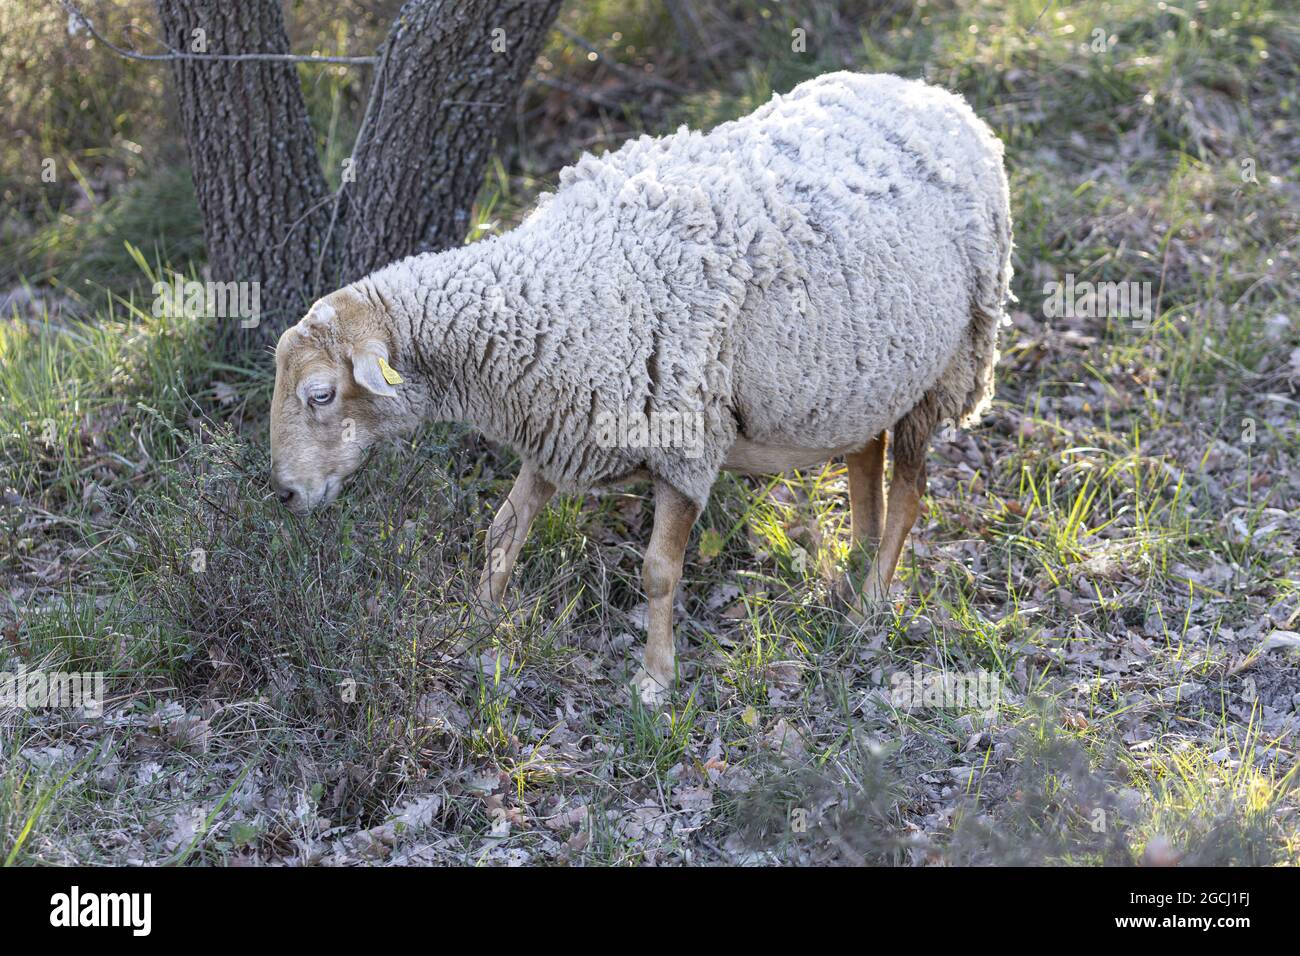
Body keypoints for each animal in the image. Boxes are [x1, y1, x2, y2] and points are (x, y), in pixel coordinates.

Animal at [269, 71, 1013, 703]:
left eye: (320, 395)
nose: (284, 493)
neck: (551, 293)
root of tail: (944, 99)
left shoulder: (683, 440)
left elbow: (659, 571)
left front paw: (655, 680)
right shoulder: (561, 424)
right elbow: (503, 529)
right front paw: (478, 621)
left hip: (948, 365)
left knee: (911, 492)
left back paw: (869, 606)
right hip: (866, 376)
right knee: (865, 459)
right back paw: (853, 565)